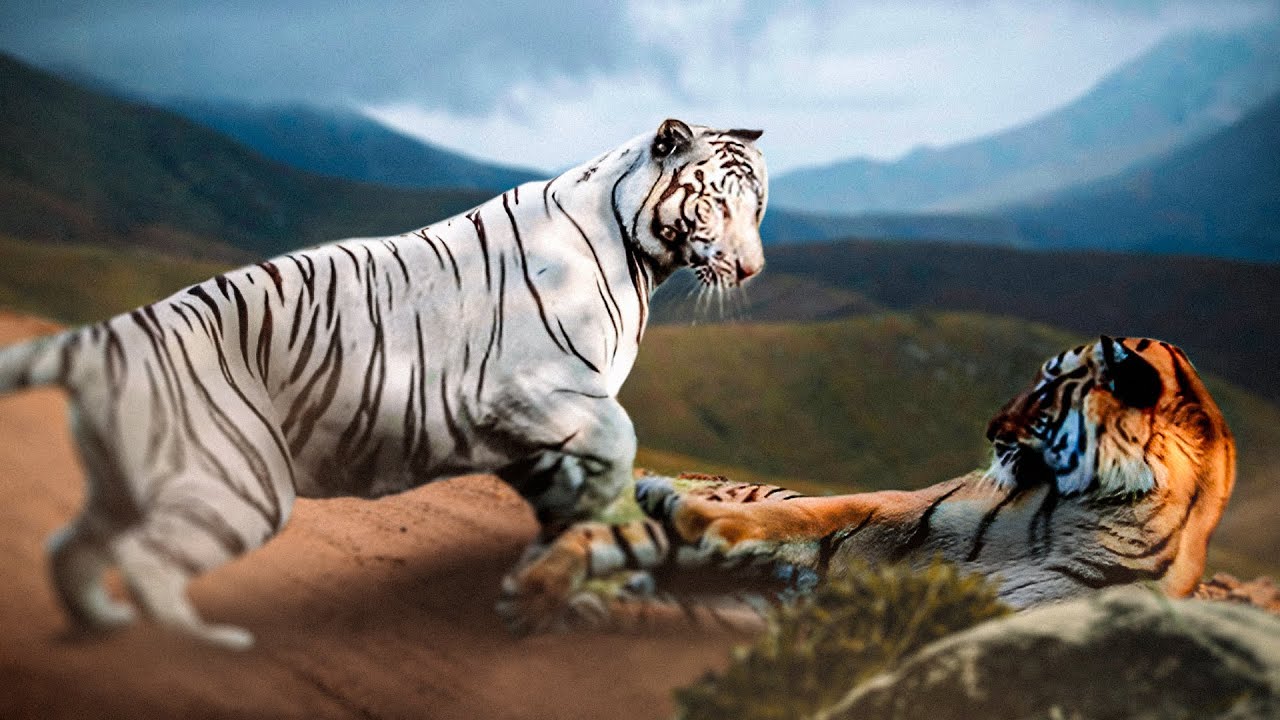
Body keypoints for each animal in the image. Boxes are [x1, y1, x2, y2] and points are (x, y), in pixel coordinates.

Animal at [0, 118, 768, 649]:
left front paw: (558, 561)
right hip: (240, 480)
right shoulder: (533, 390)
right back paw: (205, 645)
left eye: (757, 207)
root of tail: (112, 332)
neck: (640, 254)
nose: (754, 269)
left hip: (125, 478)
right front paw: (603, 528)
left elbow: (563, 489)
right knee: (143, 558)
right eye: (715, 205)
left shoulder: (524, 428)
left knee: (70, 546)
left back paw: (101, 623)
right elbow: (619, 438)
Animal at [497, 336, 1237, 634]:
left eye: (1048, 388)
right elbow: (810, 516)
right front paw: (695, 512)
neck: (1090, 508)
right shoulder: (898, 507)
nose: (989, 426)